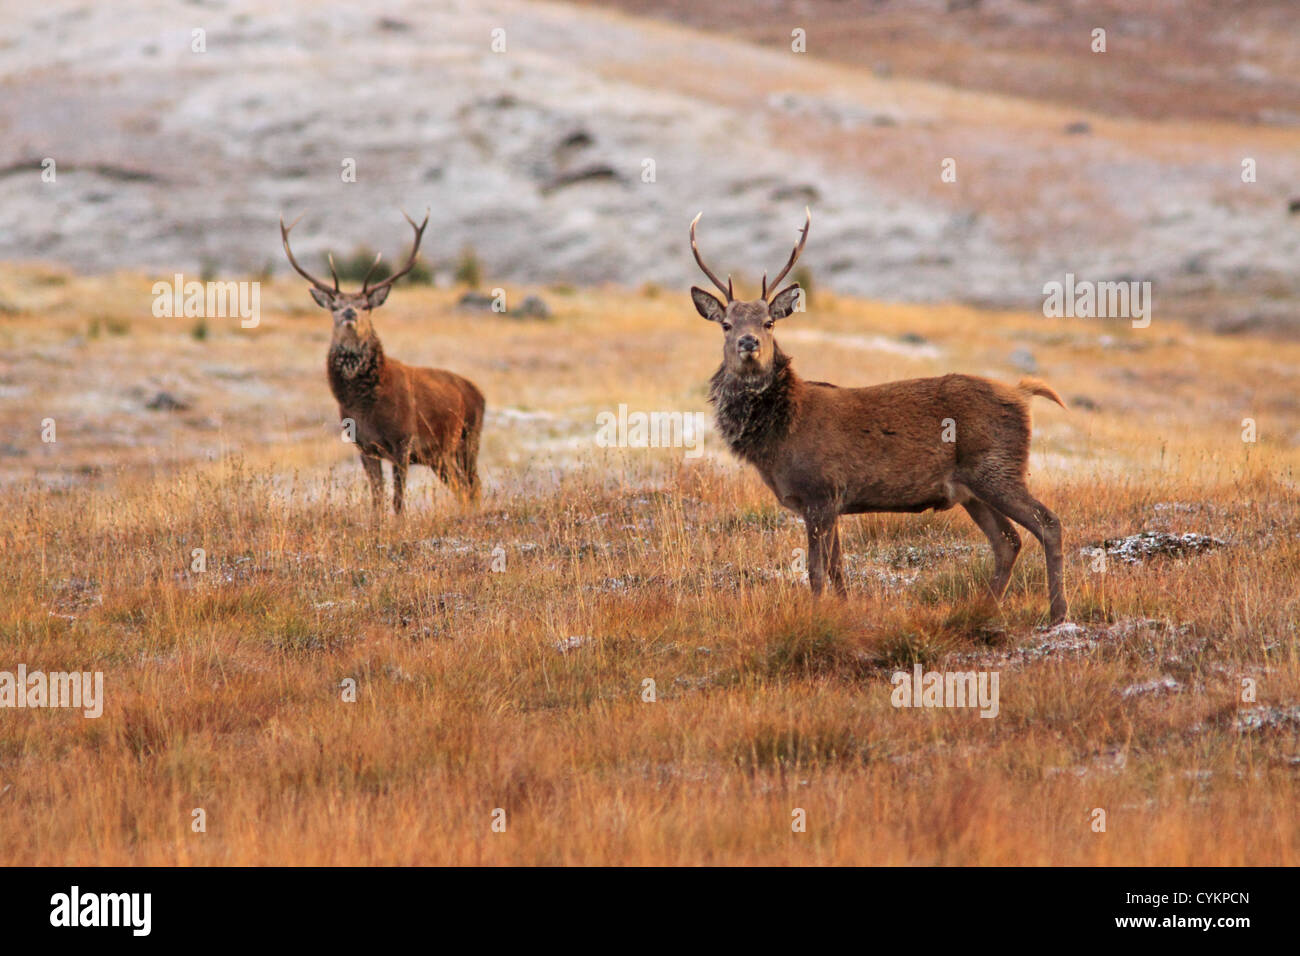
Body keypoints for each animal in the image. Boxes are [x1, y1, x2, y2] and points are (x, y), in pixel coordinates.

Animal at [280, 210, 485, 515]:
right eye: (335, 306)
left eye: (366, 305)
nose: (350, 312)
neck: (365, 406)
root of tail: (478, 392)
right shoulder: (364, 446)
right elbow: (376, 498)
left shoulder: (403, 440)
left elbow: (398, 500)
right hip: (440, 455)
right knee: (463, 488)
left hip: (468, 439)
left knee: (473, 485)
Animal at [689, 209, 1068, 624]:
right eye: (726, 324)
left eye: (769, 322)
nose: (749, 342)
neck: (779, 438)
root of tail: (1022, 393)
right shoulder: (830, 501)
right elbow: (837, 568)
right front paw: (842, 611)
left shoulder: (821, 490)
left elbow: (815, 570)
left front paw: (816, 615)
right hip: (972, 489)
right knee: (1007, 541)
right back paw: (983, 609)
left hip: (997, 468)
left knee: (1048, 523)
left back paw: (1057, 613)